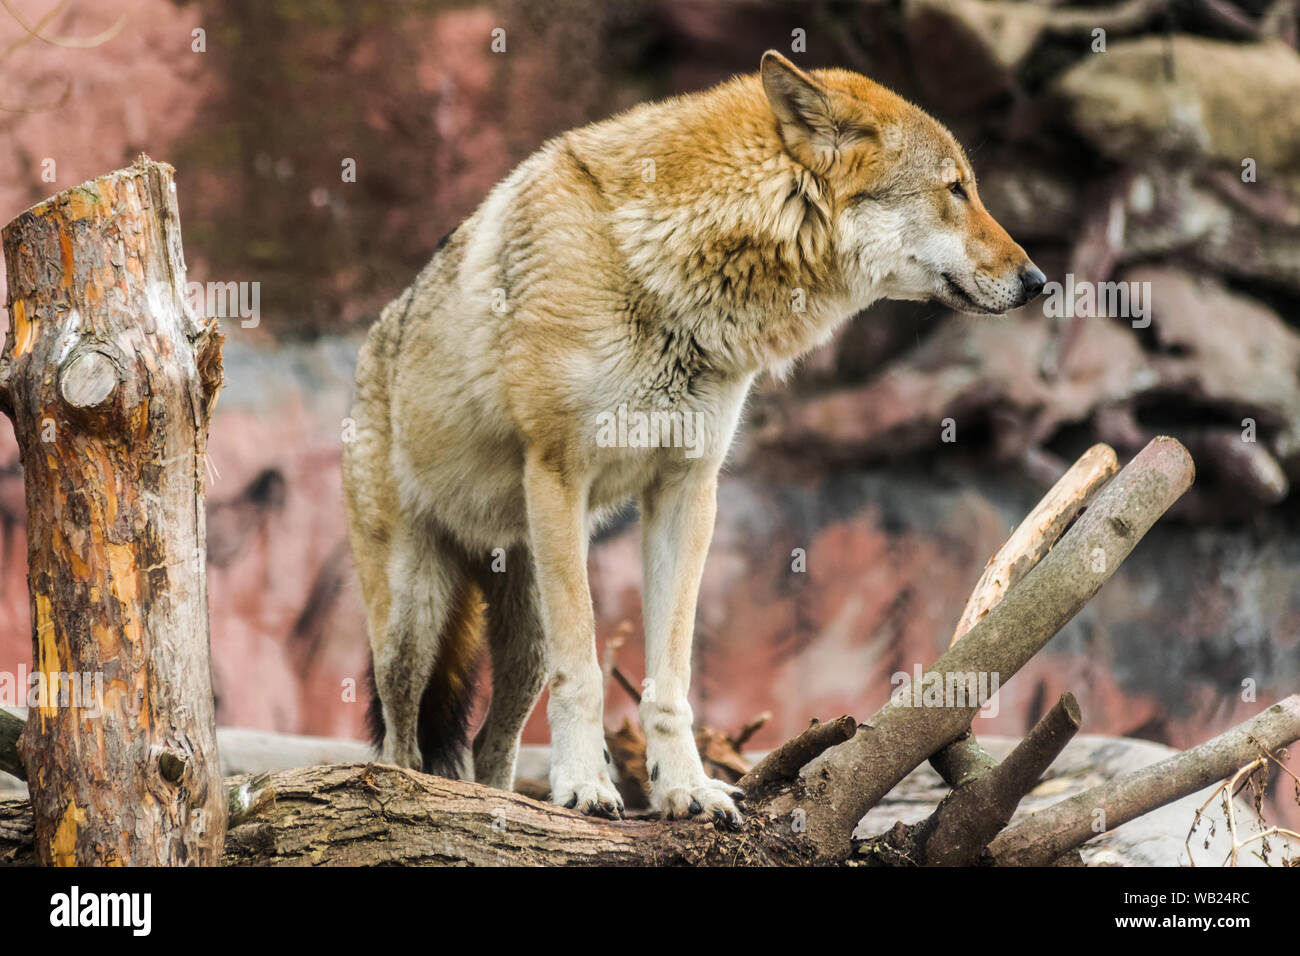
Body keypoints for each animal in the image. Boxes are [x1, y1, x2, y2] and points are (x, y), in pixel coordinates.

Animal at [343, 50, 1044, 826]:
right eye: (956, 189)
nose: (1039, 280)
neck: (663, 268)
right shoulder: (559, 474)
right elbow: (586, 671)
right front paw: (586, 786)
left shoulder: (686, 488)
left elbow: (672, 679)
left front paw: (685, 788)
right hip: (413, 625)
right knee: (402, 741)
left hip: (520, 639)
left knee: (489, 746)